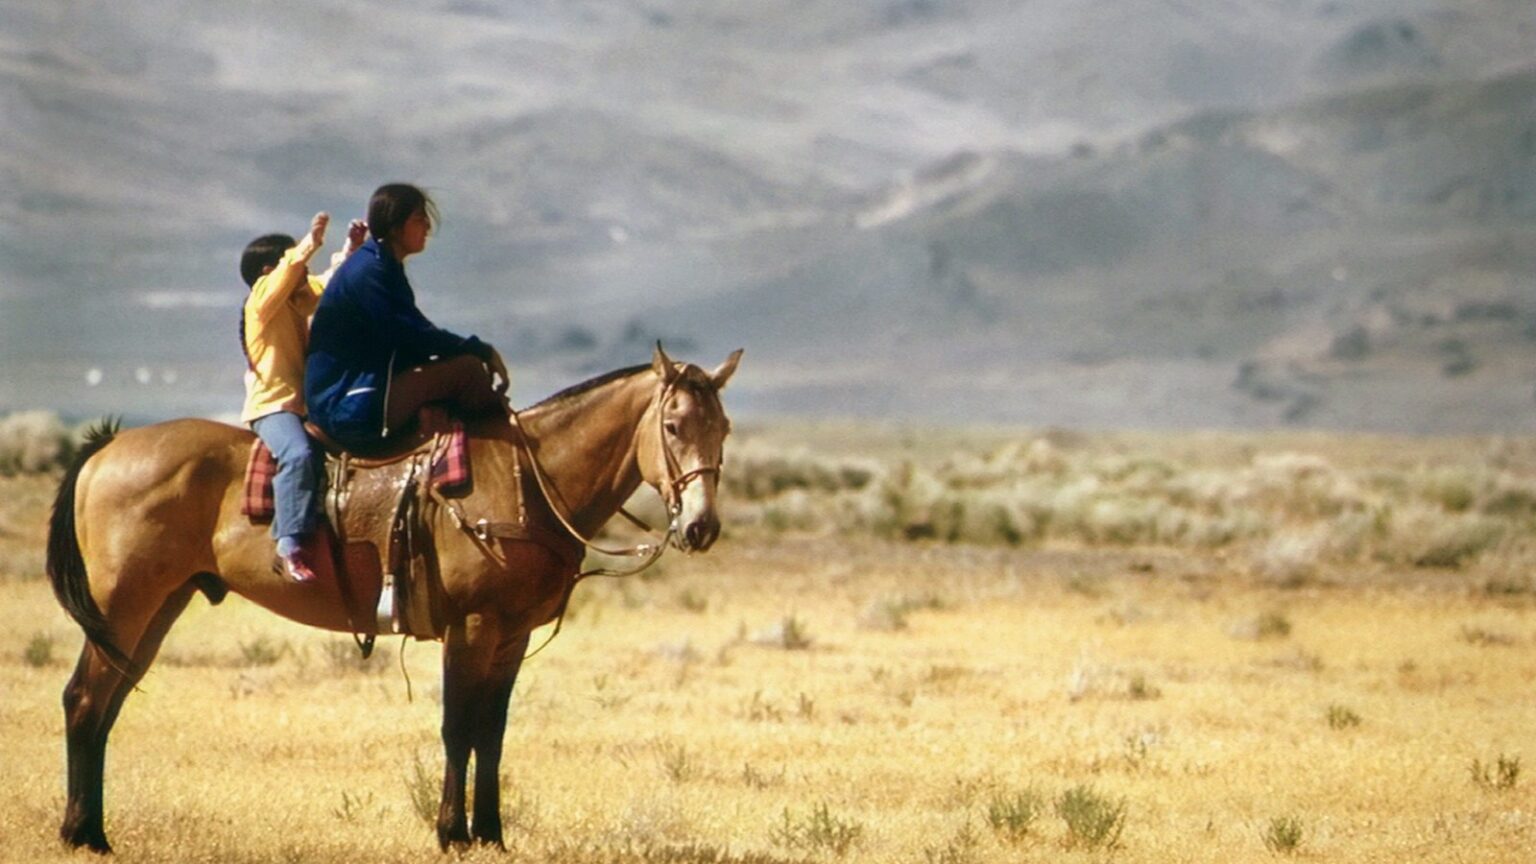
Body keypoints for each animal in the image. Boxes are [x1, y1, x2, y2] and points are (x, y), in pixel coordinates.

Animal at [45, 343, 741, 853]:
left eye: (724, 428)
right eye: (673, 425)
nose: (701, 526)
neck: (523, 482)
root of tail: (109, 447)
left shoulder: (511, 634)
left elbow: (492, 732)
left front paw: (491, 834)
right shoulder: (473, 627)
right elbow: (459, 726)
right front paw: (451, 833)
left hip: (160, 606)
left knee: (106, 705)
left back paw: (93, 830)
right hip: (124, 604)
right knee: (83, 700)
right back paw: (83, 838)